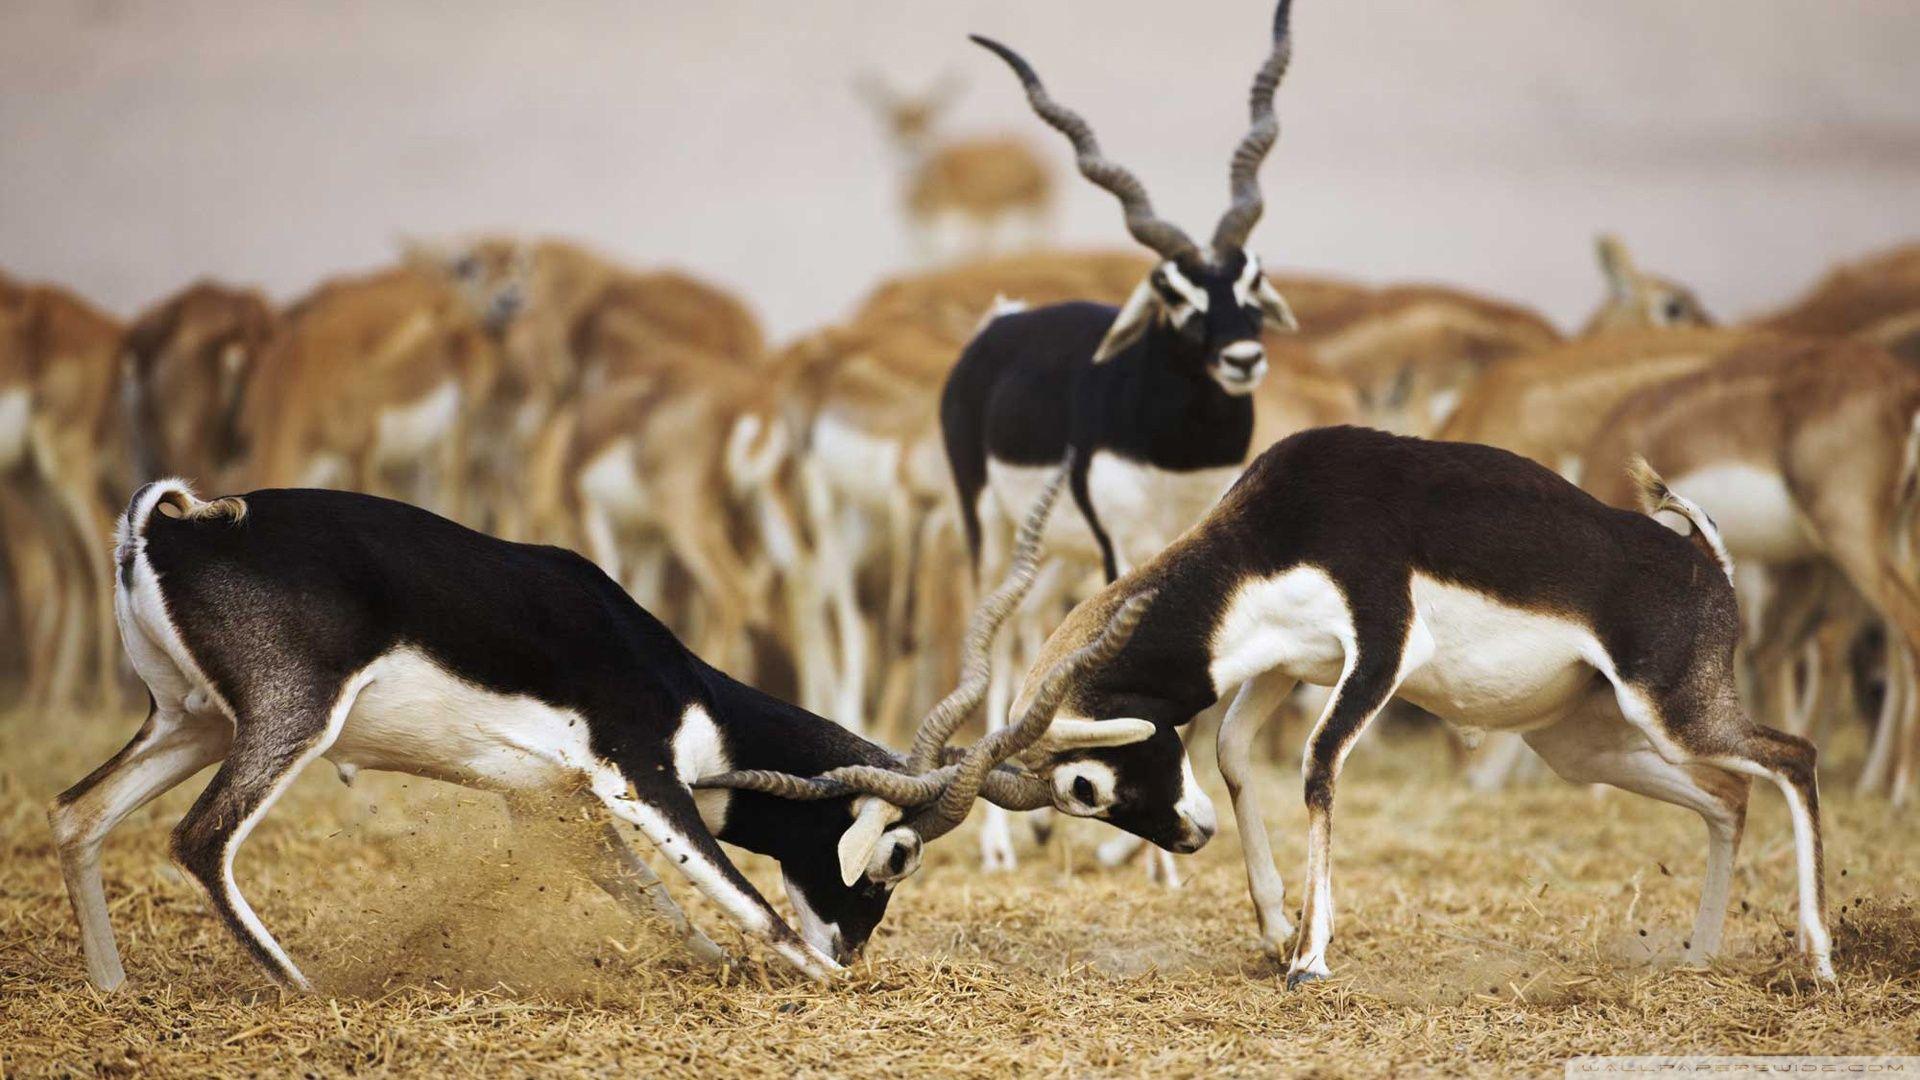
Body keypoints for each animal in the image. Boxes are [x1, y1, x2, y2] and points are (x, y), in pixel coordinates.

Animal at [49, 464, 1144, 990]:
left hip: (191, 722)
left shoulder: (549, 805)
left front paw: (716, 972)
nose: (856, 948)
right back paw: (304, 989)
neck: (678, 682)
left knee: (74, 814)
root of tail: (165, 528)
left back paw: (110, 990)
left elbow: (658, 907)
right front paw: (816, 976)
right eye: (901, 855)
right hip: (289, 720)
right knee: (201, 839)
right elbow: (748, 903)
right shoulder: (639, 772)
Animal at [943, 1, 1301, 870]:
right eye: (1172, 290)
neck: (1174, 444)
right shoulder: (1121, 542)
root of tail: (1001, 322)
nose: (1242, 357)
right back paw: (1001, 846)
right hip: (990, 530)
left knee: (1033, 640)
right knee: (994, 650)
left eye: (1251, 277)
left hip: (1051, 556)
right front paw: (1150, 866)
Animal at [999, 425, 1834, 985]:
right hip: (1585, 743)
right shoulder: (1286, 661)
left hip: (1674, 715)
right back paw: (1700, 955)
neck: (1272, 532)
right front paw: (1275, 930)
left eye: (1082, 787)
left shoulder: (1382, 648)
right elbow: (1232, 750)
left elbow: (1317, 766)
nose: (1189, 836)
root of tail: (1706, 562)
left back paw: (1818, 965)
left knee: (1794, 757)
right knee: (1728, 797)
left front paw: (1309, 959)